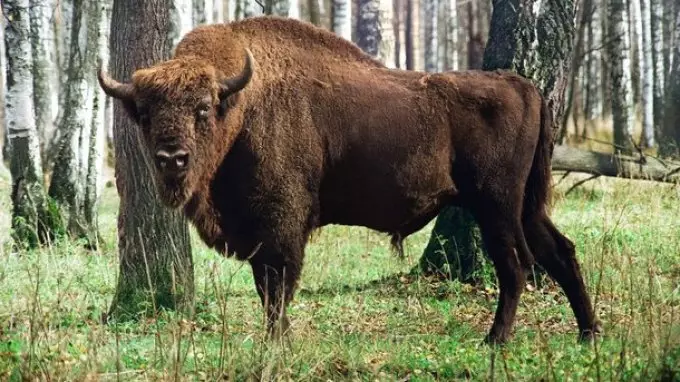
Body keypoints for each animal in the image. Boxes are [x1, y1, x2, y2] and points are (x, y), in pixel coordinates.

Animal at [99, 15, 600, 344]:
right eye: (145, 113)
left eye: (202, 109)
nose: (172, 159)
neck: (241, 104)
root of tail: (522, 85)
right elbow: (267, 288)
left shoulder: (281, 226)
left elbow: (277, 288)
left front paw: (277, 344)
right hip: (525, 205)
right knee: (560, 251)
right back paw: (588, 333)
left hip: (496, 205)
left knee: (515, 265)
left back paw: (495, 340)